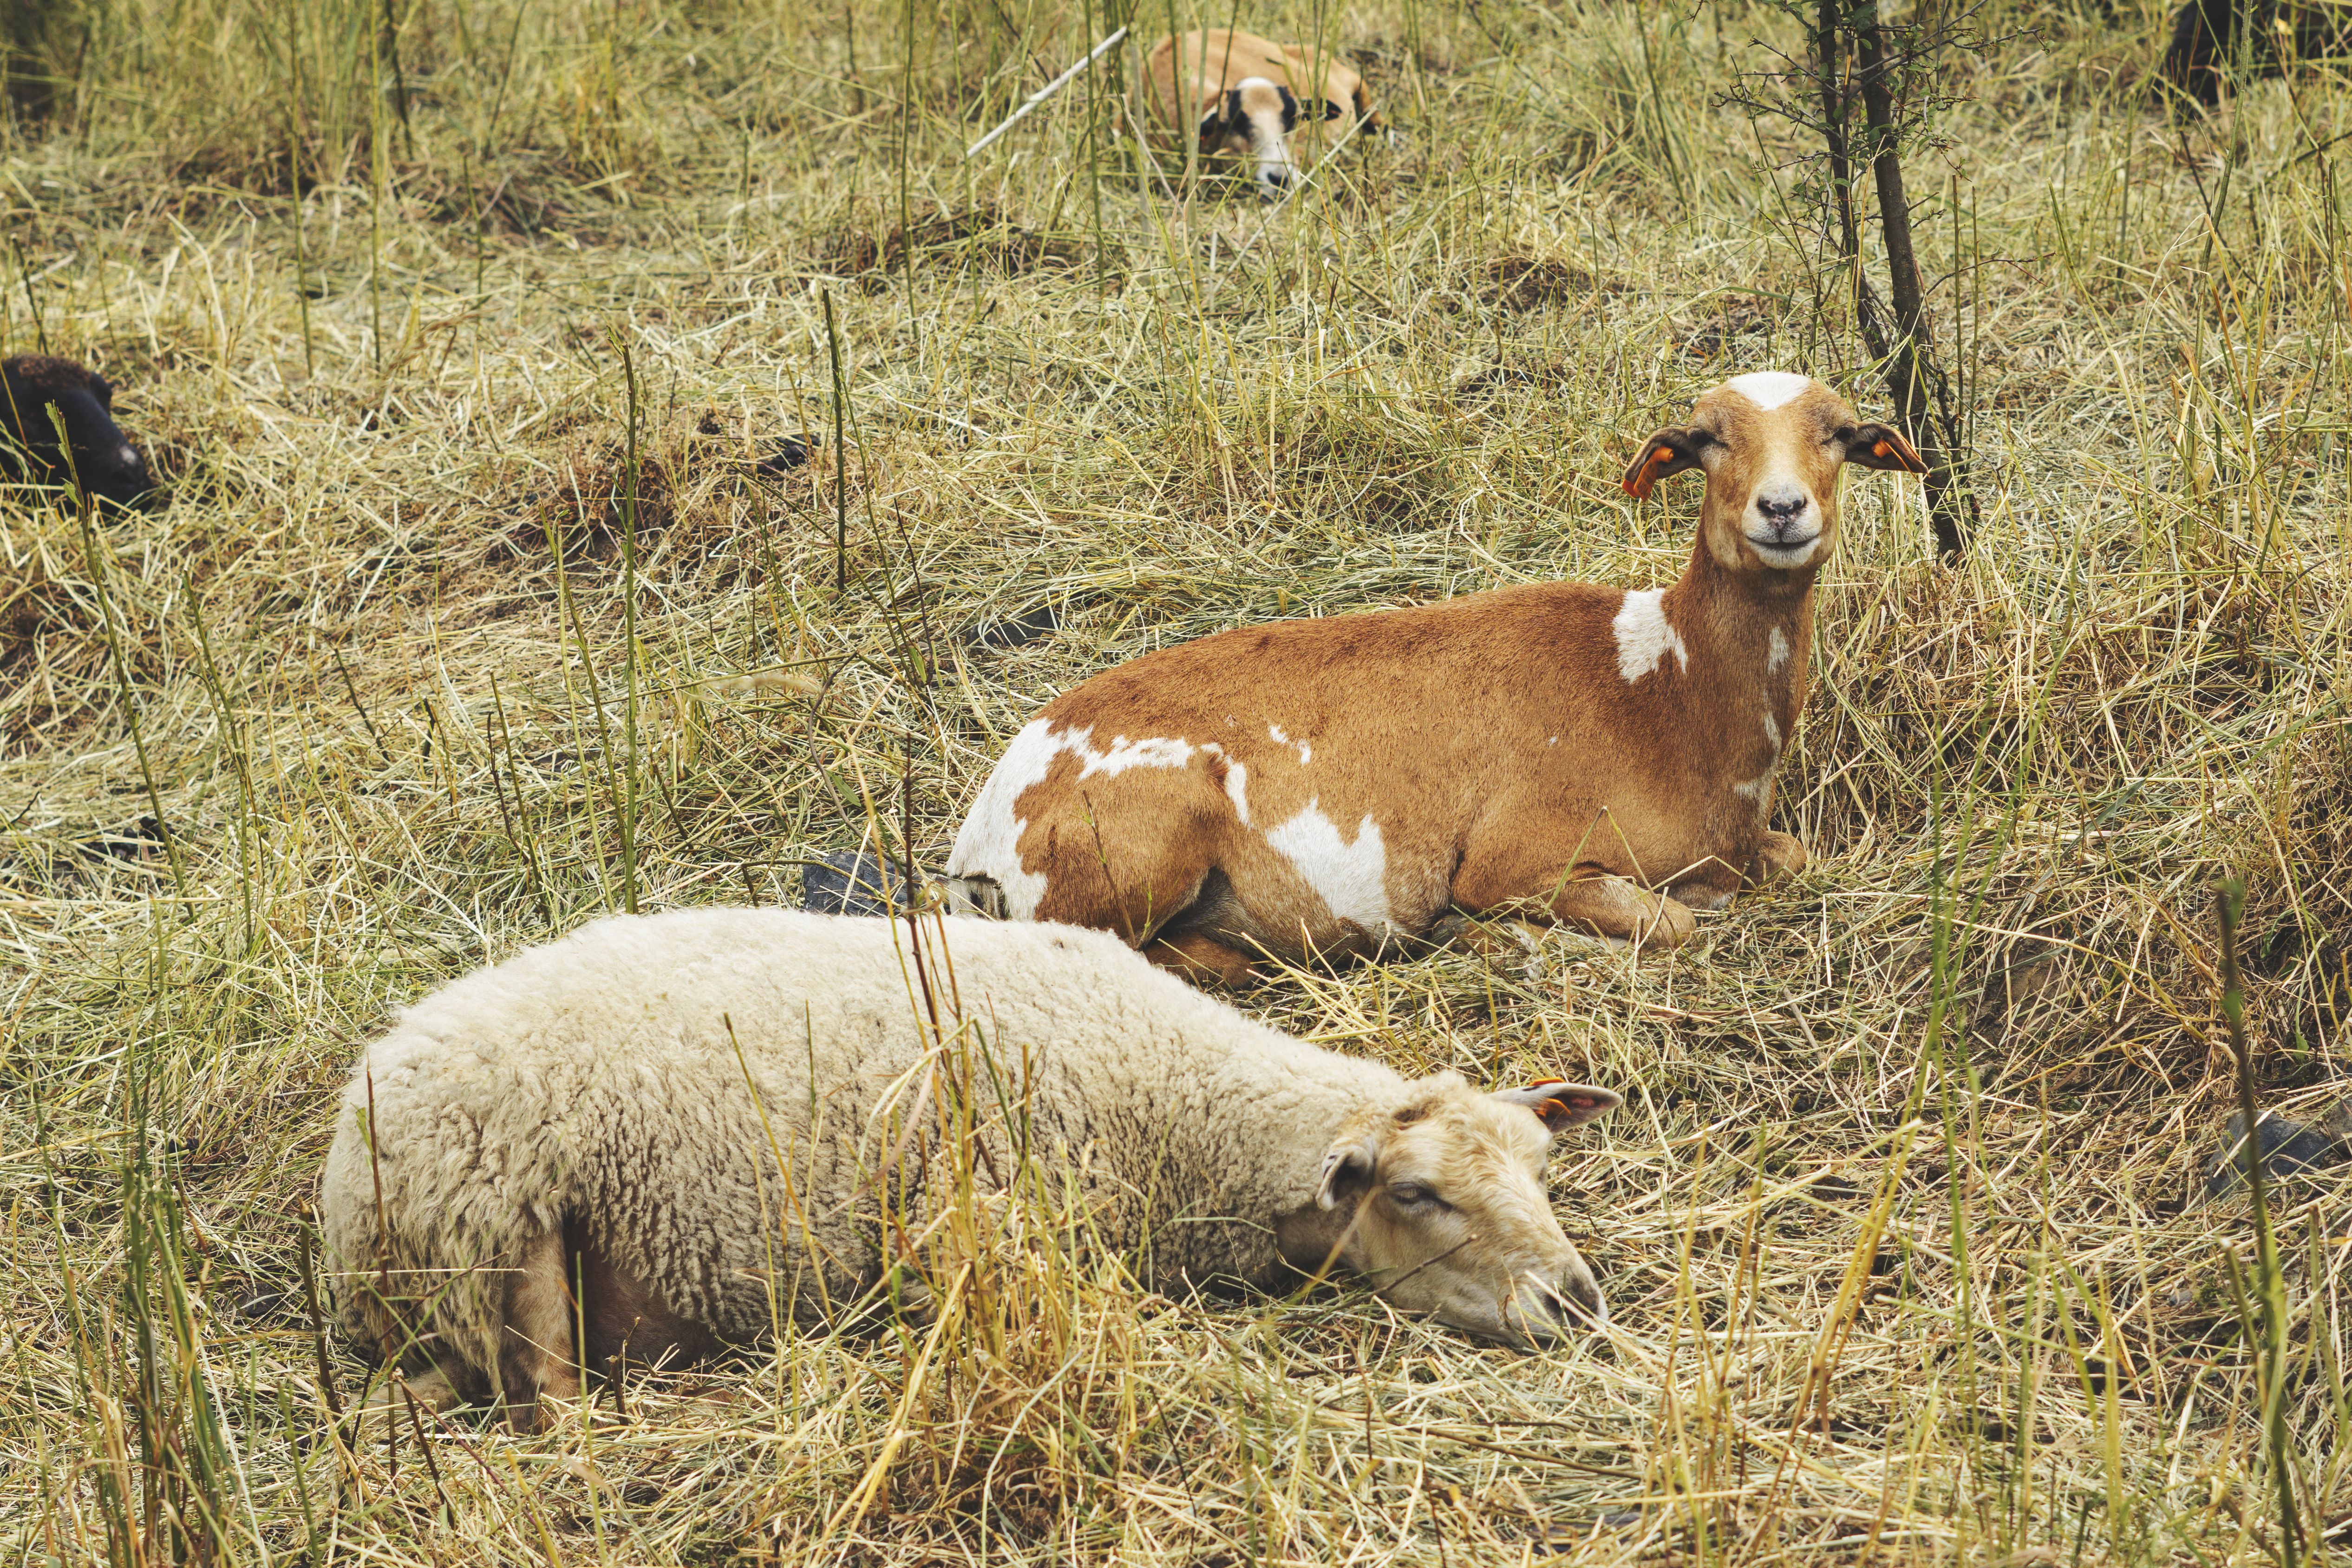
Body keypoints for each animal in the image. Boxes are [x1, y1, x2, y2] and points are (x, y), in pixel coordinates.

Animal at [320, 907, 1621, 1424]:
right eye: (1415, 1192)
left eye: (1541, 1166)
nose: (1576, 1301)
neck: (1178, 1101)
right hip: (502, 1235)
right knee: (551, 1410)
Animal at [942, 373, 1928, 983]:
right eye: (1705, 441)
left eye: (1838, 437)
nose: (1781, 509)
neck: (1665, 695)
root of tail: (977, 835)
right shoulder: (1516, 855)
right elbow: (1670, 924)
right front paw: (1499, 941)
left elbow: (1791, 861)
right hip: (1140, 839)